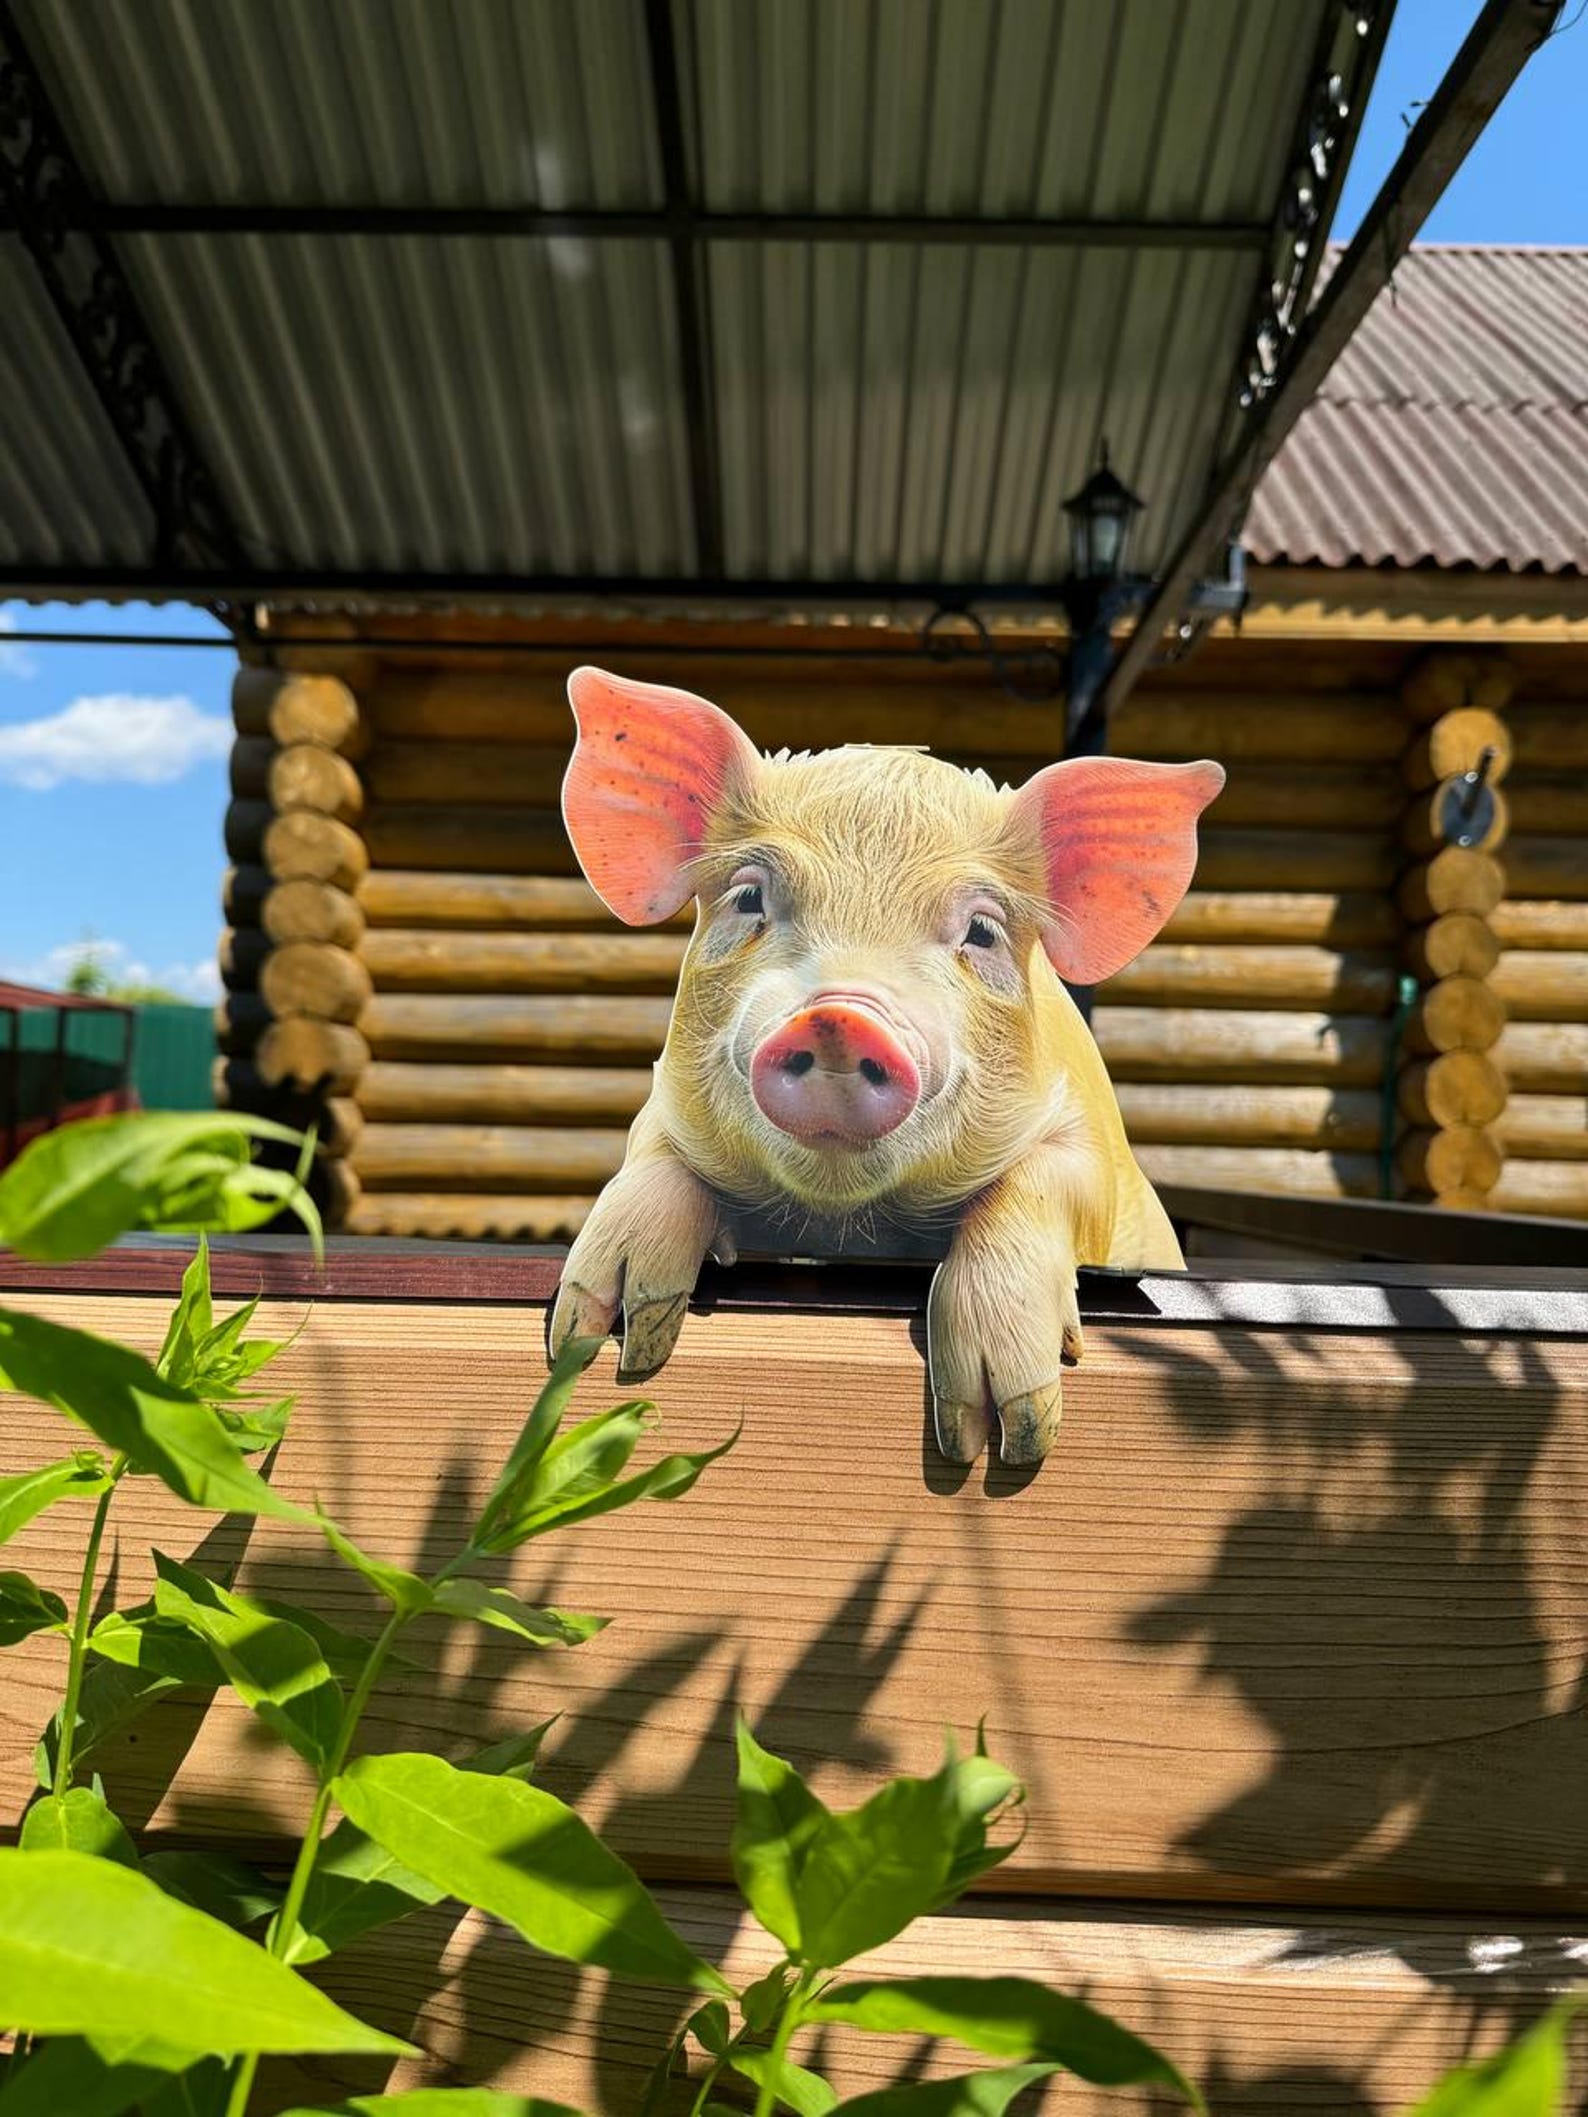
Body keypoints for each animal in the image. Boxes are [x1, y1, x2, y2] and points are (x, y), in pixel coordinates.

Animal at [550, 665, 1224, 1464]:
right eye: (748, 896)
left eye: (982, 931)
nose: (842, 1014)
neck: (852, 1228)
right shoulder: (663, 1103)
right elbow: (651, 1158)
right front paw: (590, 1340)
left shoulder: (1085, 1140)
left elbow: (1043, 1180)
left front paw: (1000, 1443)